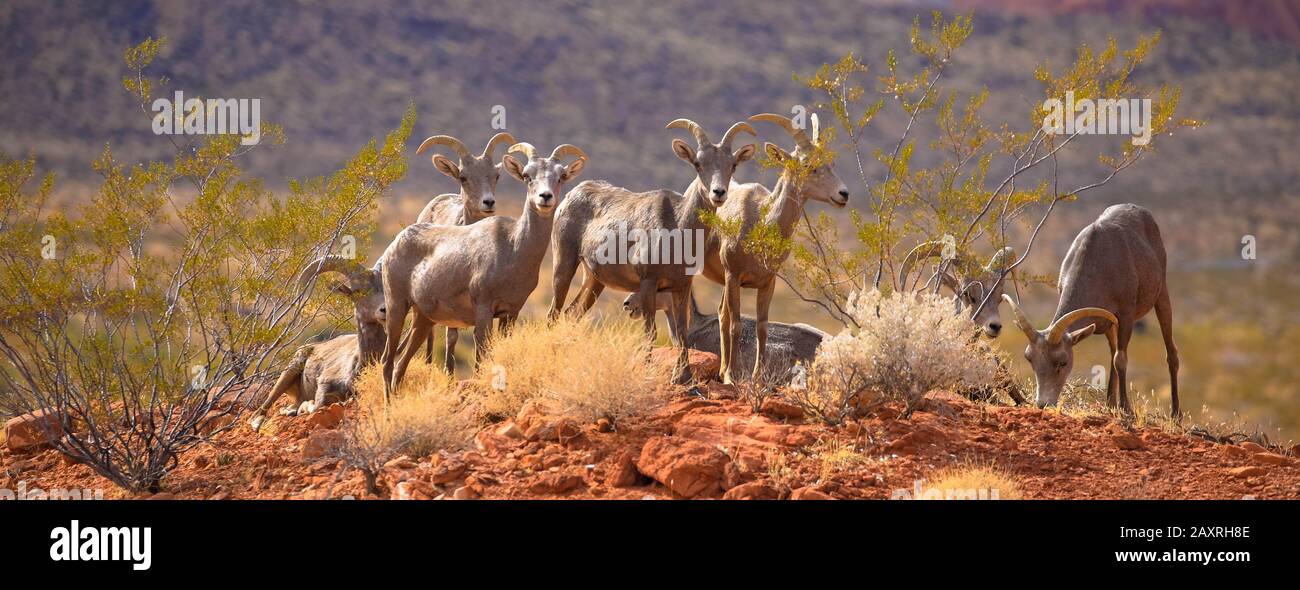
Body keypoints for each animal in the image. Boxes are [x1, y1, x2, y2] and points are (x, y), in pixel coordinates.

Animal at [248, 256, 386, 430]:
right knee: (263, 408)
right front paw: (306, 406)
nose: (384, 309)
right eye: (359, 291)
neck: (359, 363)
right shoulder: (324, 383)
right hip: (289, 371)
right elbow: (318, 405)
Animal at [548, 119, 756, 377]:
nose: (718, 193)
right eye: (698, 164)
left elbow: (682, 332)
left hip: (594, 281)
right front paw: (648, 370)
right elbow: (651, 332)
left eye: (733, 165)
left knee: (571, 315)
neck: (678, 228)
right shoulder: (648, 283)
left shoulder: (681, 286)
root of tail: (570, 196)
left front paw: (683, 377)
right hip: (564, 264)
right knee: (554, 315)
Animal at [701, 113, 848, 384]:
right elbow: (737, 325)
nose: (843, 194)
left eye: (830, 163)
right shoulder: (734, 276)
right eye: (807, 165)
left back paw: (721, 369)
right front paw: (732, 377)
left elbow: (762, 328)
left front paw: (758, 376)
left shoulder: (767, 282)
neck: (760, 221)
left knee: (721, 314)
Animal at [1001, 204, 1179, 416]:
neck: (1099, 265)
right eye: (1030, 359)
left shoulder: (1126, 315)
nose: (1043, 404)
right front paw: (1114, 407)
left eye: (1062, 362)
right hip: (1110, 325)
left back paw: (1176, 415)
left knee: (1170, 353)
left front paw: (1126, 410)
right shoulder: (1110, 320)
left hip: (1162, 296)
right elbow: (1114, 358)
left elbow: (1121, 359)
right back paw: (1110, 404)